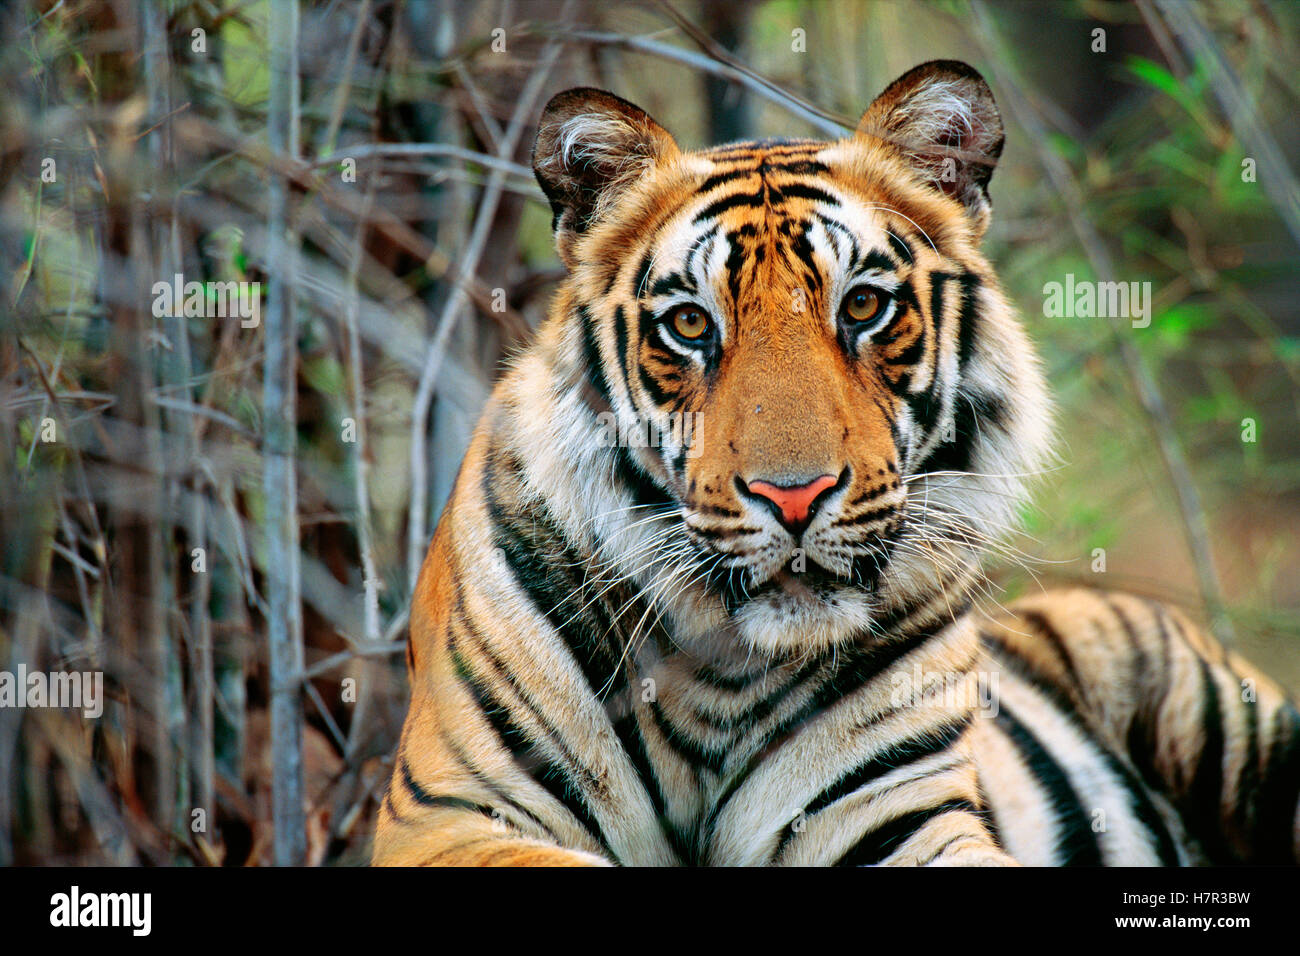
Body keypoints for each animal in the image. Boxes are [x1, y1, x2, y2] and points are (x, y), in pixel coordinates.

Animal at [373, 60, 1300, 866]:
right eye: (690, 324)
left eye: (862, 306)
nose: (795, 497)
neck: (720, 677)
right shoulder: (450, 815)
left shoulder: (894, 815)